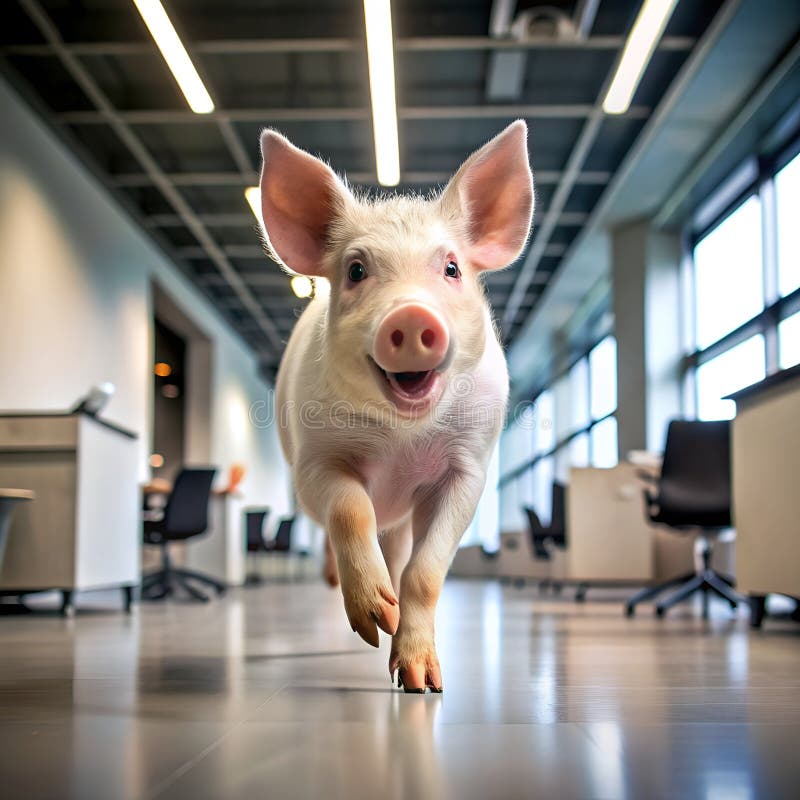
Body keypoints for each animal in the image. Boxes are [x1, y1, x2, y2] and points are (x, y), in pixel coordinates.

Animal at [259, 121, 534, 692]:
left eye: (451, 267)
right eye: (356, 270)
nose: (409, 315)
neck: (400, 440)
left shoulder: (468, 468)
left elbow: (426, 571)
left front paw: (421, 683)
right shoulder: (315, 461)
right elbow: (348, 508)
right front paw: (375, 621)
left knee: (402, 550)